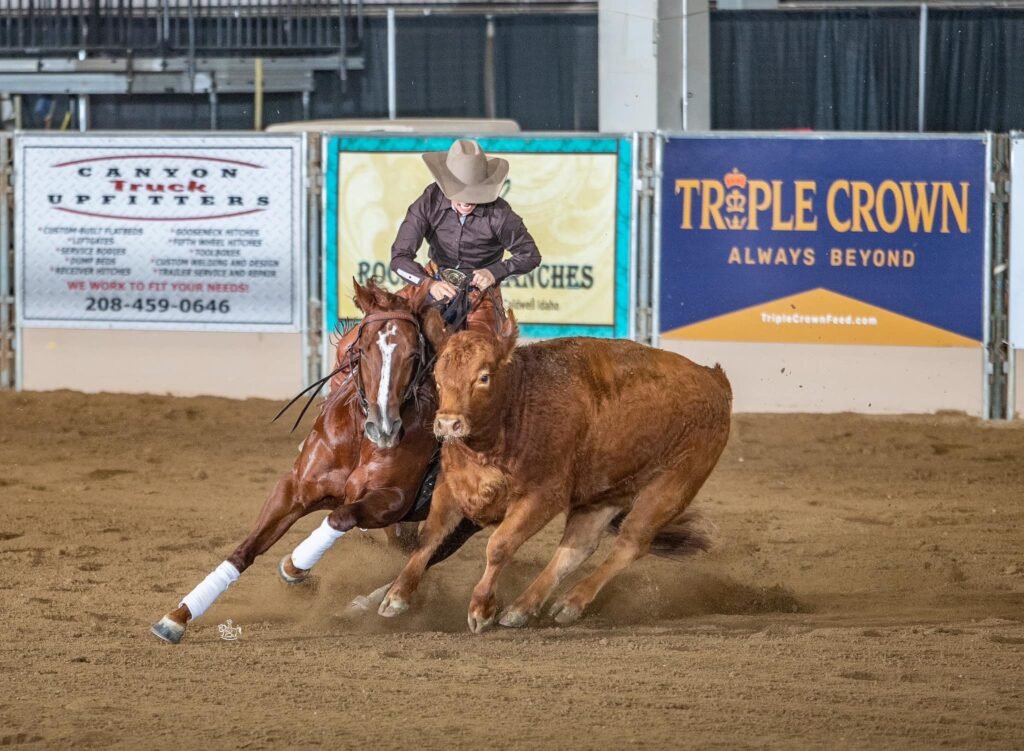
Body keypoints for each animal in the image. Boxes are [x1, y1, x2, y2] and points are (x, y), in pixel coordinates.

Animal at [150, 279, 480, 643]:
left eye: (413, 354)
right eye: (362, 349)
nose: (384, 428)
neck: (359, 439)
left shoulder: (391, 502)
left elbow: (339, 517)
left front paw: (294, 568)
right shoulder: (295, 488)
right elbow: (245, 550)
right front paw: (178, 616)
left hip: (465, 521)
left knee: (424, 556)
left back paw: (374, 605)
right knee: (410, 552)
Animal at [376, 312, 733, 633]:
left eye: (484, 376)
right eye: (437, 375)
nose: (449, 423)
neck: (514, 407)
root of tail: (715, 379)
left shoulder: (542, 496)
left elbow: (499, 545)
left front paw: (481, 608)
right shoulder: (452, 485)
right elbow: (430, 537)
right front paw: (396, 596)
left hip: (672, 485)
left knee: (629, 545)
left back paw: (571, 602)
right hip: (604, 493)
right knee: (577, 548)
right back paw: (523, 608)